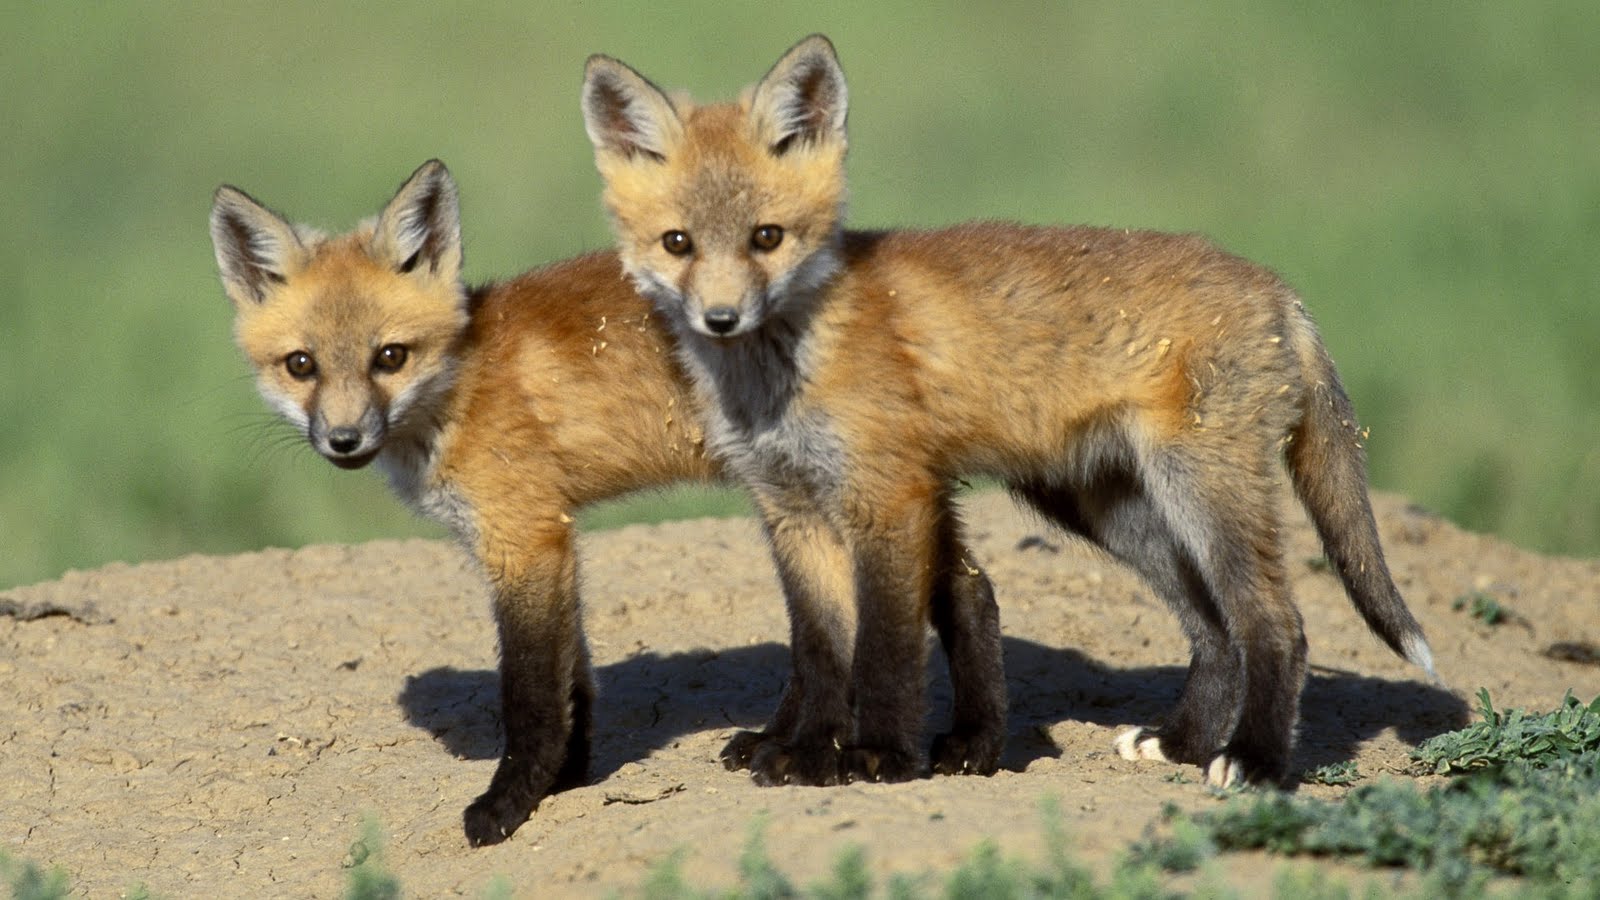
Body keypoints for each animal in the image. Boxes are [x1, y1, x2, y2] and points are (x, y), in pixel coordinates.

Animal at [209, 160, 1004, 845]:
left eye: (390, 358)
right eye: (302, 365)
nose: (343, 440)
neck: (461, 387)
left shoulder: (524, 539)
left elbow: (530, 694)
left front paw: (509, 803)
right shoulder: (552, 540)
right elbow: (574, 679)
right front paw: (566, 781)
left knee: (954, 596)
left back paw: (949, 743)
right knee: (971, 590)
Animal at [580, 35, 1437, 789]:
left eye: (767, 237)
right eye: (678, 243)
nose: (721, 318)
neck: (784, 369)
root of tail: (1280, 289)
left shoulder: (890, 497)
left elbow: (884, 647)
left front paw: (877, 755)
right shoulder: (790, 509)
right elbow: (818, 650)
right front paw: (802, 750)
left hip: (1200, 491)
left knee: (1275, 625)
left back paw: (1252, 760)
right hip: (1106, 507)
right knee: (1216, 631)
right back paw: (1184, 743)